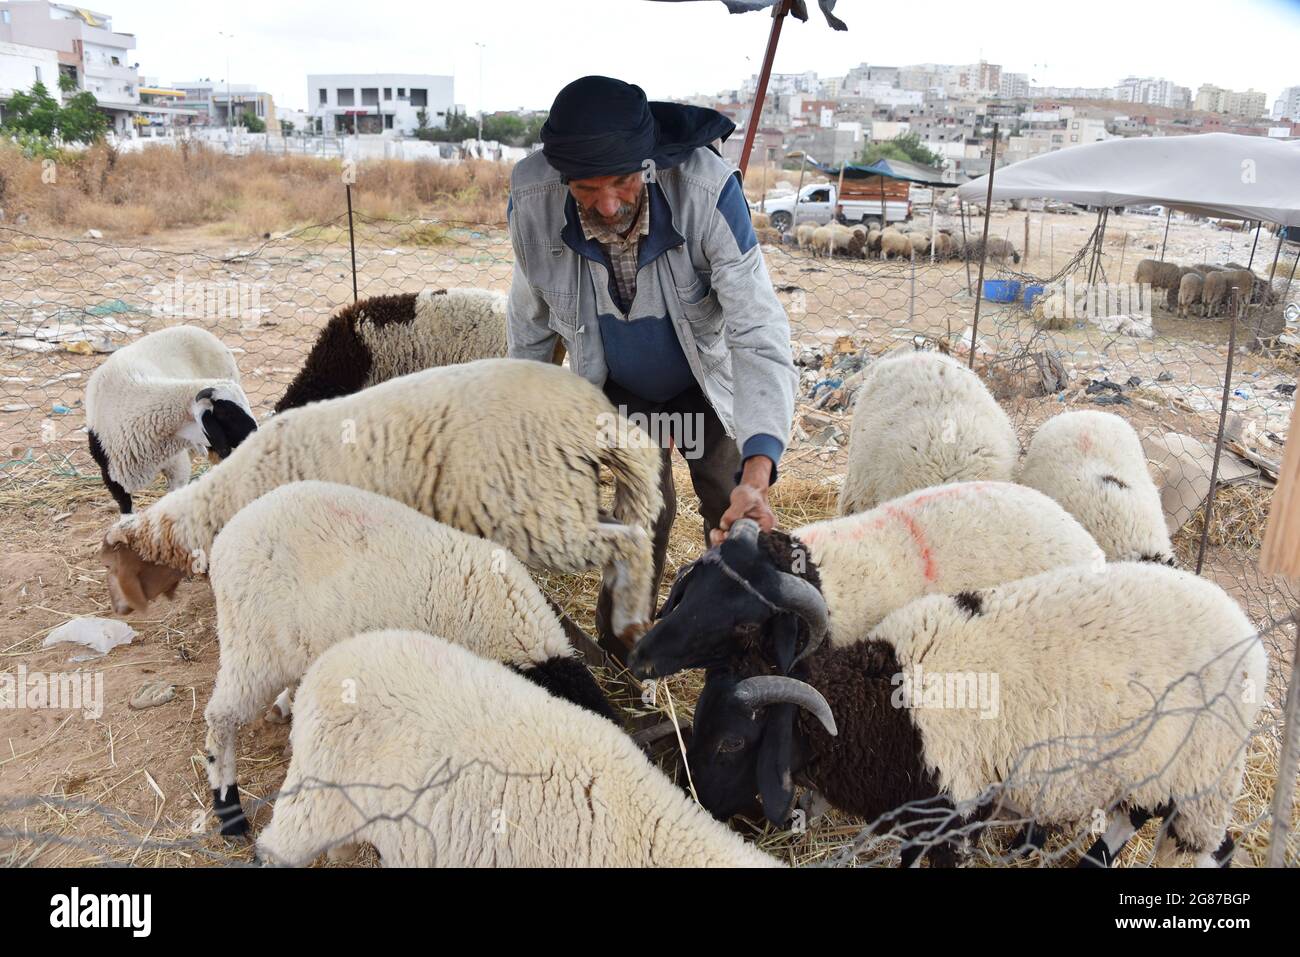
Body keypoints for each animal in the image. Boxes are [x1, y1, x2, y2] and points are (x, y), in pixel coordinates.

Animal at [98, 357, 662, 646]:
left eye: (114, 567)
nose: (120, 608)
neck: (228, 496)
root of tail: (592, 416)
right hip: (562, 498)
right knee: (627, 529)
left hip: (537, 512)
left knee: (633, 541)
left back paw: (630, 621)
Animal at [677, 555, 1267, 867]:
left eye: (733, 742)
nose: (697, 801)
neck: (880, 709)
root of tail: (1247, 632)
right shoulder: (916, 812)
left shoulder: (954, 812)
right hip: (1150, 768)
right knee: (1135, 814)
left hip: (1204, 776)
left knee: (1210, 846)